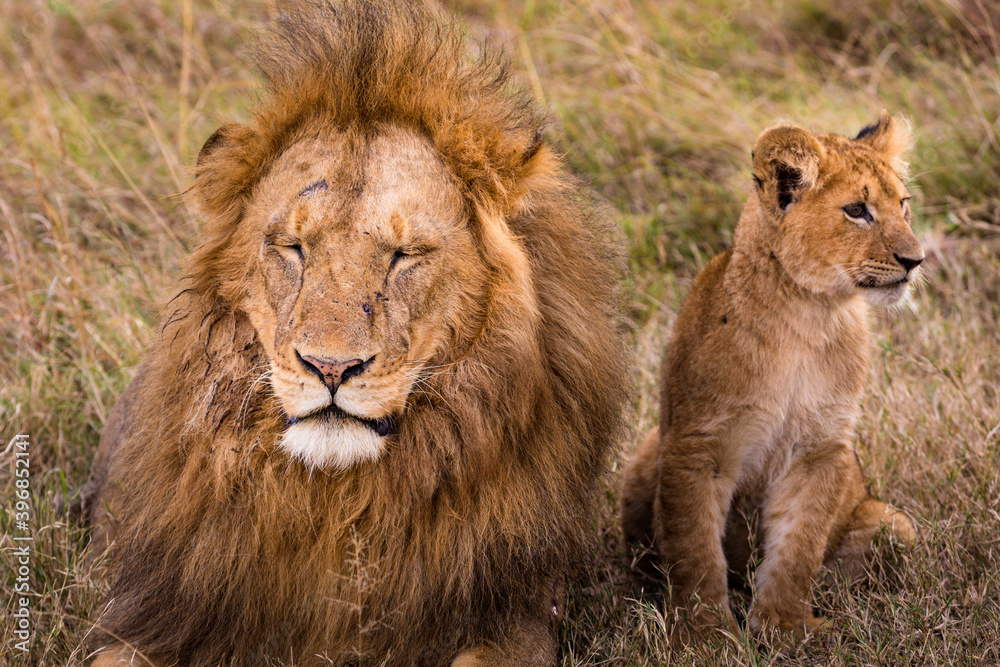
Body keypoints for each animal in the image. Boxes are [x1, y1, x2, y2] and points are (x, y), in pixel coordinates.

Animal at [84, 3, 629, 665]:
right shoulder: (151, 613)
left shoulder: (516, 613)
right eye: (292, 248)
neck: (341, 506)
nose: (330, 368)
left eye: (404, 255)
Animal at [620, 111, 920, 638]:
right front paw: (706, 636)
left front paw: (784, 628)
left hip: (892, 523)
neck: (807, 312)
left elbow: (798, 547)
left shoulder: (819, 449)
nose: (916, 260)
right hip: (646, 458)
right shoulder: (696, 445)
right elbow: (694, 549)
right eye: (857, 210)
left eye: (902, 206)